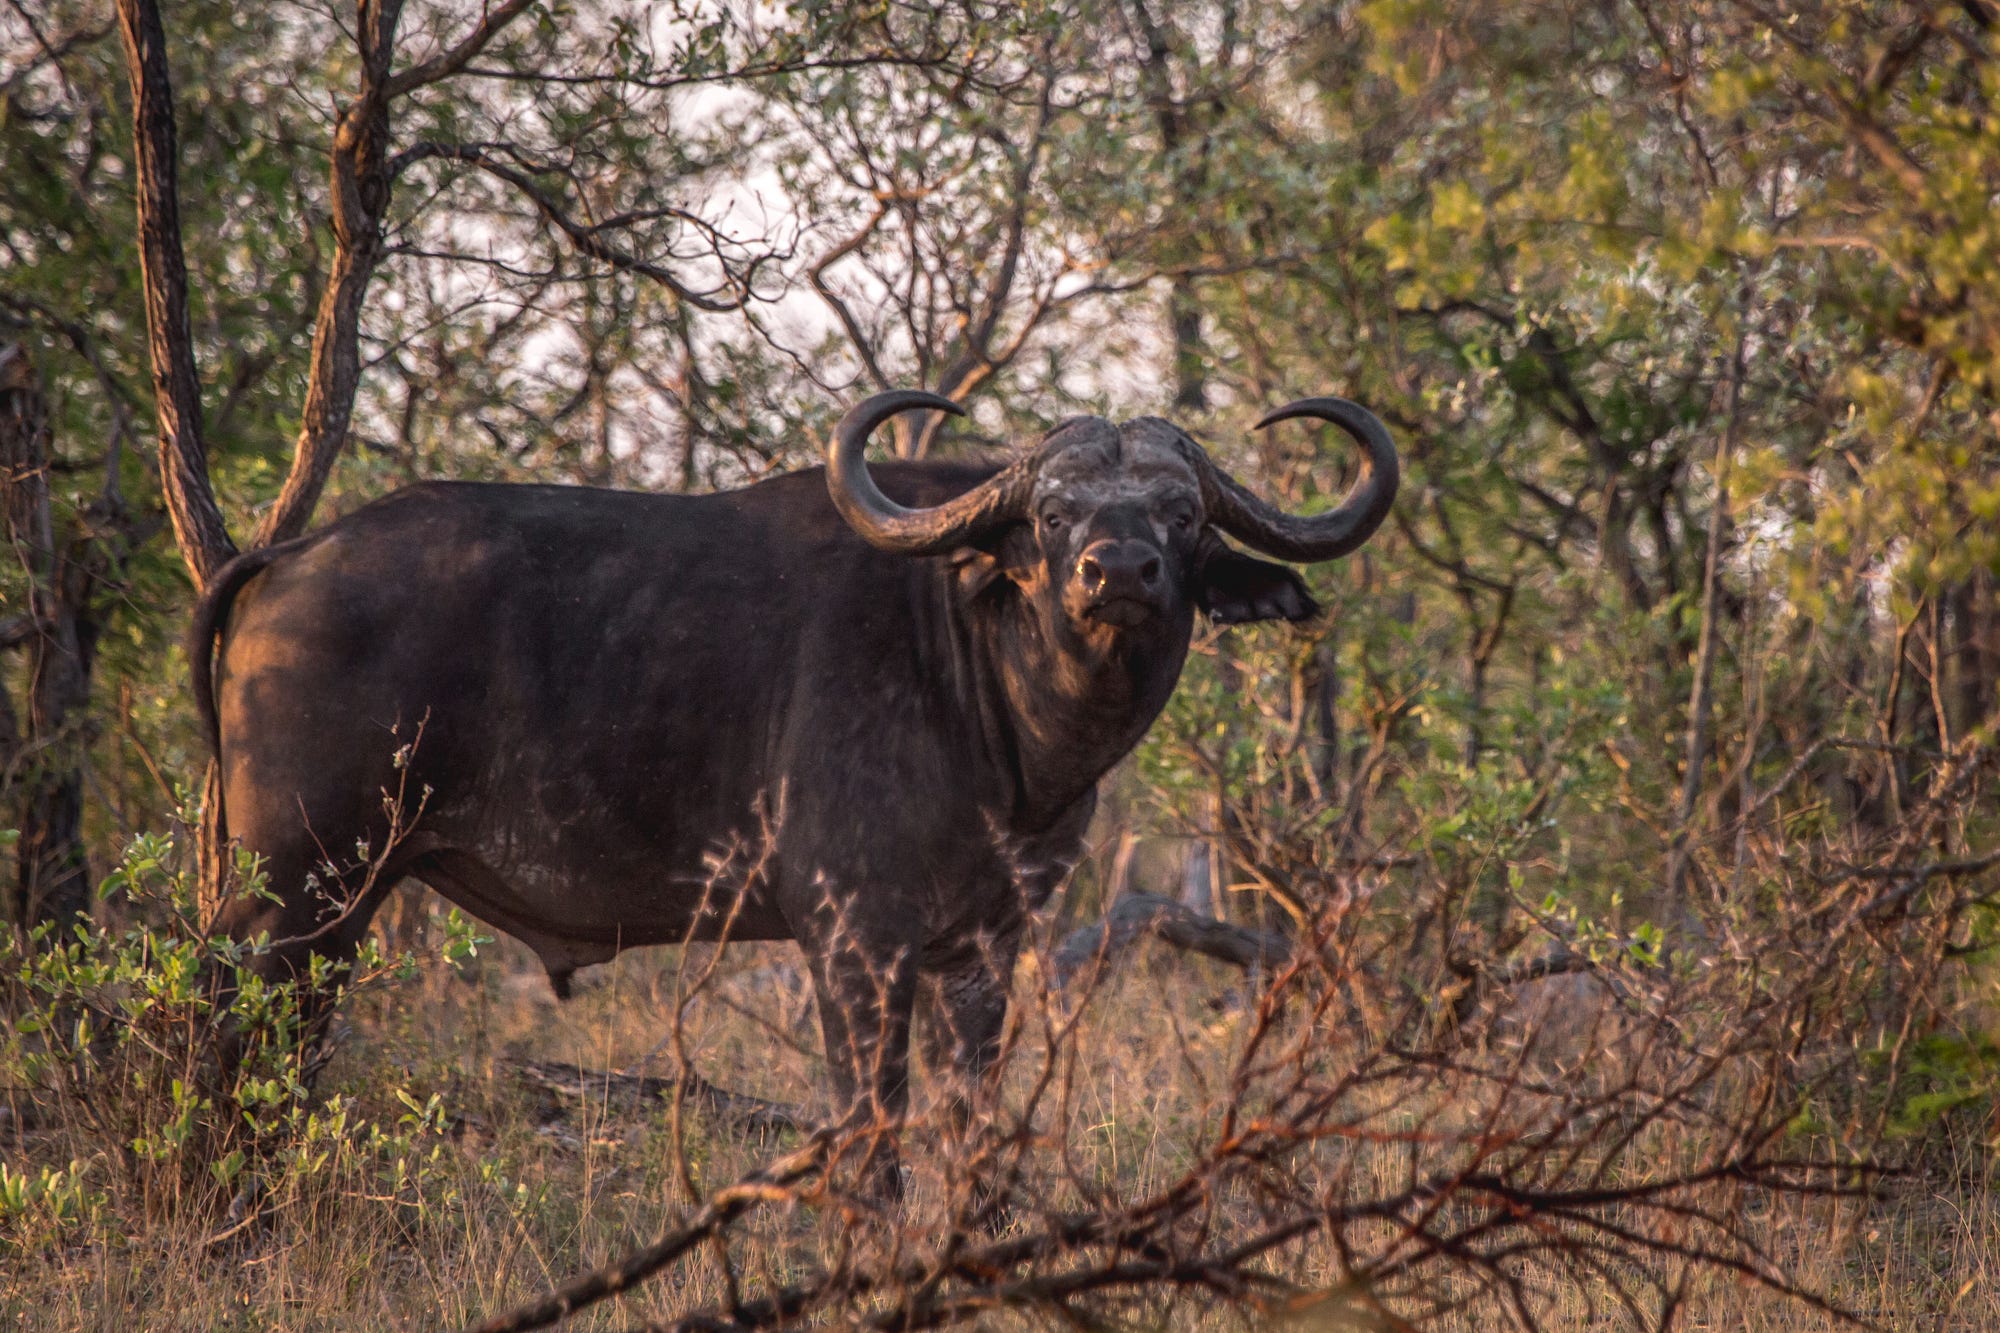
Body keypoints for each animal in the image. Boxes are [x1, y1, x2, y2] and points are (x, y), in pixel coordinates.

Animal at [192, 389, 1397, 1181]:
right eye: (1053, 516)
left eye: (1182, 516)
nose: (1119, 572)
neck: (992, 697)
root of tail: (295, 554)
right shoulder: (854, 940)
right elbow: (868, 1132)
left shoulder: (984, 950)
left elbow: (966, 1126)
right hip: (295, 890)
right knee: (230, 1036)